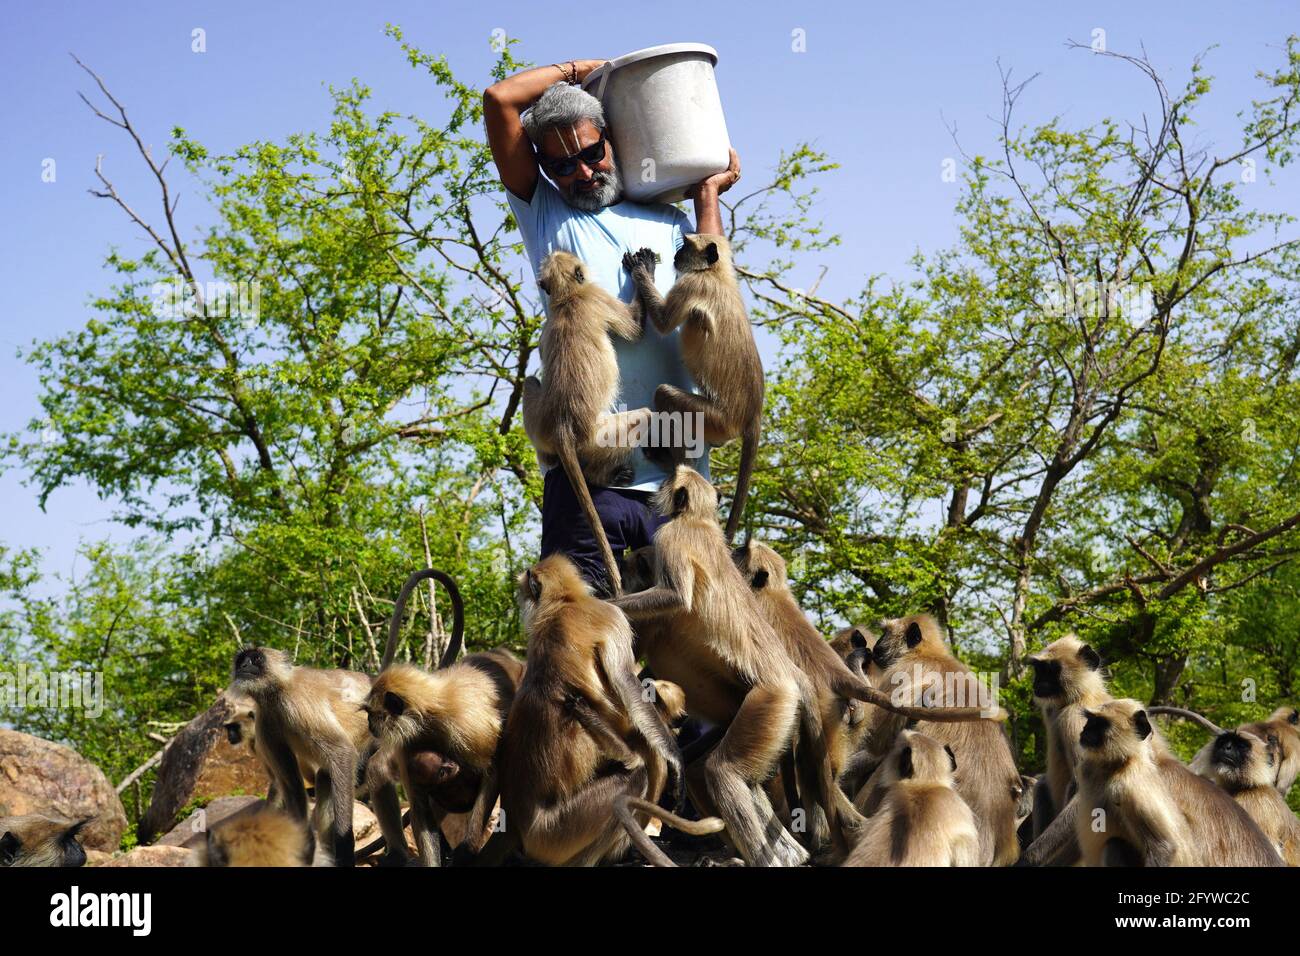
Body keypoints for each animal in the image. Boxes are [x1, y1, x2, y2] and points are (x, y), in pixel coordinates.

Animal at [362, 648, 524, 866]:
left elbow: (493, 771)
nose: (369, 724)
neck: (431, 716)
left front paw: (466, 851)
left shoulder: (469, 725)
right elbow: (420, 807)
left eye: (373, 714)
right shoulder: (410, 742)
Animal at [498, 555, 721, 866]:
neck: (566, 603)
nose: (520, 599)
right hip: (558, 833)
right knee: (639, 771)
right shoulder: (611, 615)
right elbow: (625, 680)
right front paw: (675, 759)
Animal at [523, 249, 654, 596]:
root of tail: (562, 425)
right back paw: (603, 475)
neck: (568, 297)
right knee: (646, 416)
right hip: (599, 435)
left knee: (530, 381)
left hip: (542, 425)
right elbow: (635, 328)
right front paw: (643, 269)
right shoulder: (596, 296)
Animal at [624, 235, 762, 542]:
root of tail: (752, 413)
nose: (677, 255)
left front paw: (643, 269)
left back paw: (674, 466)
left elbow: (664, 321)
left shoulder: (693, 284)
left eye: (686, 245)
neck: (717, 275)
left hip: (718, 420)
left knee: (665, 395)